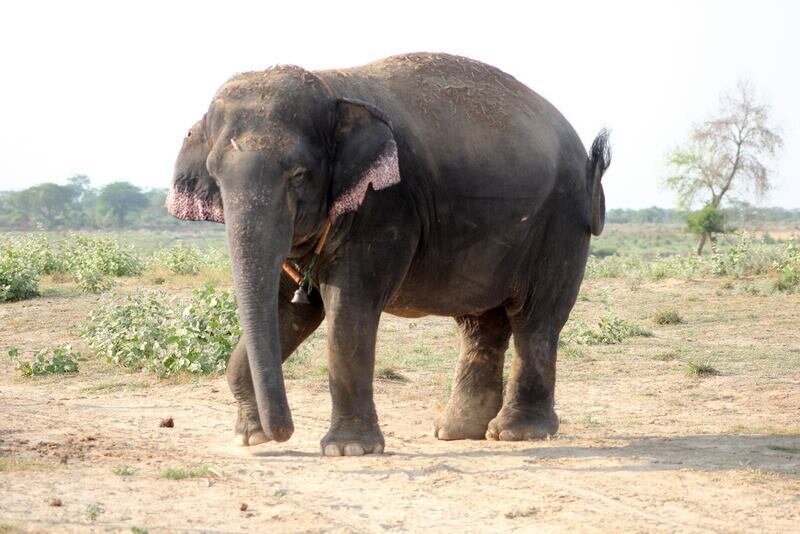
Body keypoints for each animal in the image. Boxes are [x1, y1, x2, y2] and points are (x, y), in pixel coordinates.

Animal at [166, 52, 610, 456]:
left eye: (299, 175)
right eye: (216, 177)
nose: (284, 434)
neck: (331, 90)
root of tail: (588, 163)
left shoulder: (385, 205)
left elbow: (348, 309)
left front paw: (348, 450)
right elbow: (288, 310)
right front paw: (250, 436)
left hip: (560, 223)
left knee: (535, 319)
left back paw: (516, 432)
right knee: (481, 322)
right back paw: (456, 431)